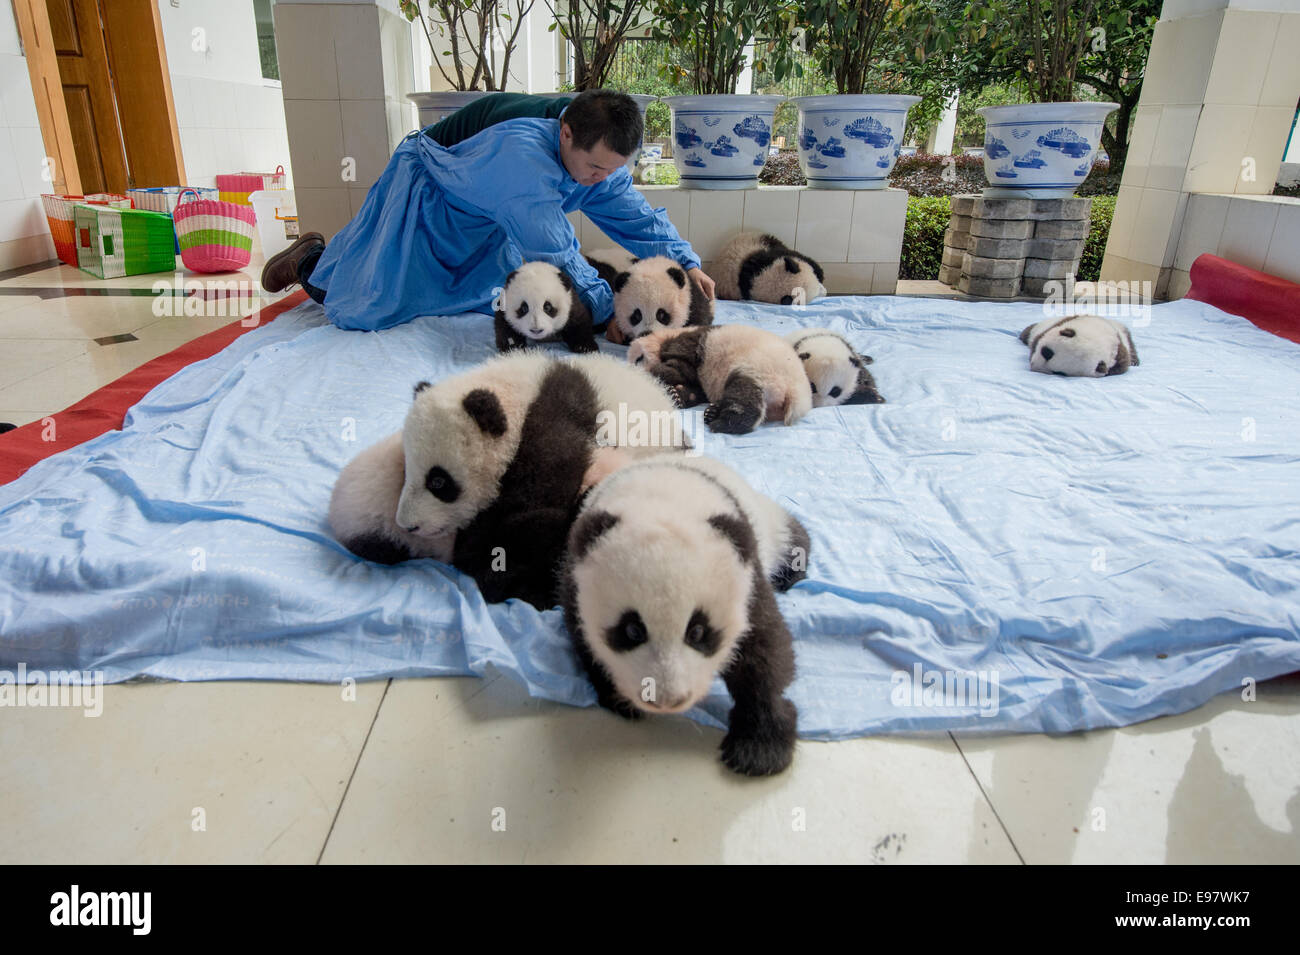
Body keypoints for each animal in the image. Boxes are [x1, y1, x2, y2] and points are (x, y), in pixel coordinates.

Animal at [560, 455, 808, 776]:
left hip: (769, 525)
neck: (663, 499)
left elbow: (764, 651)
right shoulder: (574, 580)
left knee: (792, 539)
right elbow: (582, 637)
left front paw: (758, 750)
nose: (667, 700)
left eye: (698, 631)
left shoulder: (747, 578)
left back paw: (793, 571)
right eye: (632, 630)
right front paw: (619, 698)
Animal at [628, 324, 812, 434]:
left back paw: (724, 422)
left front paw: (660, 373)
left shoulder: (693, 340)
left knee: (745, 396)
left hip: (760, 371)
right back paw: (713, 412)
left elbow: (682, 364)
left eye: (638, 359)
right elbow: (695, 390)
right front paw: (675, 394)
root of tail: (794, 393)